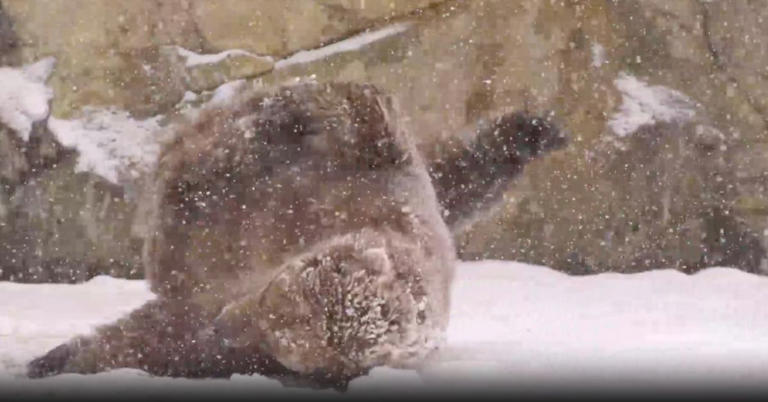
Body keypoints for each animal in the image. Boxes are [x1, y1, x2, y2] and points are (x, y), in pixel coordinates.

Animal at [27, 82, 566, 389]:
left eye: (285, 335)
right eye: (279, 293)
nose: (225, 324)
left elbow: (157, 341)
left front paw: (62, 358)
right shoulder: (342, 200)